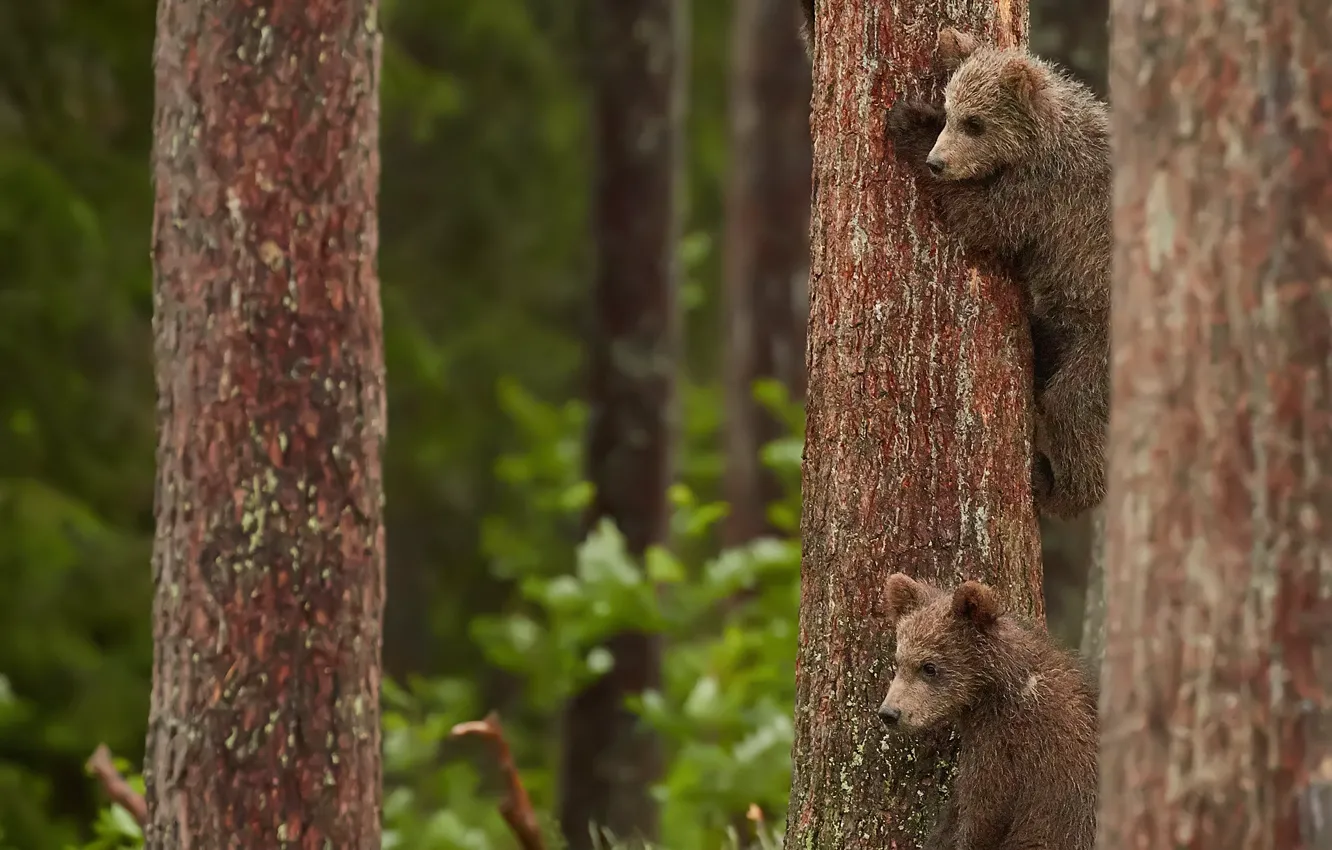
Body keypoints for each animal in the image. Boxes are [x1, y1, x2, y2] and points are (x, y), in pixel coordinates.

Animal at [884, 27, 1112, 520]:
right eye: (951, 109)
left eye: (975, 123)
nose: (937, 163)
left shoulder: (1045, 194)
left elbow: (984, 219)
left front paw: (909, 123)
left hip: (1099, 340)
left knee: (1072, 408)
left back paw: (1059, 489)